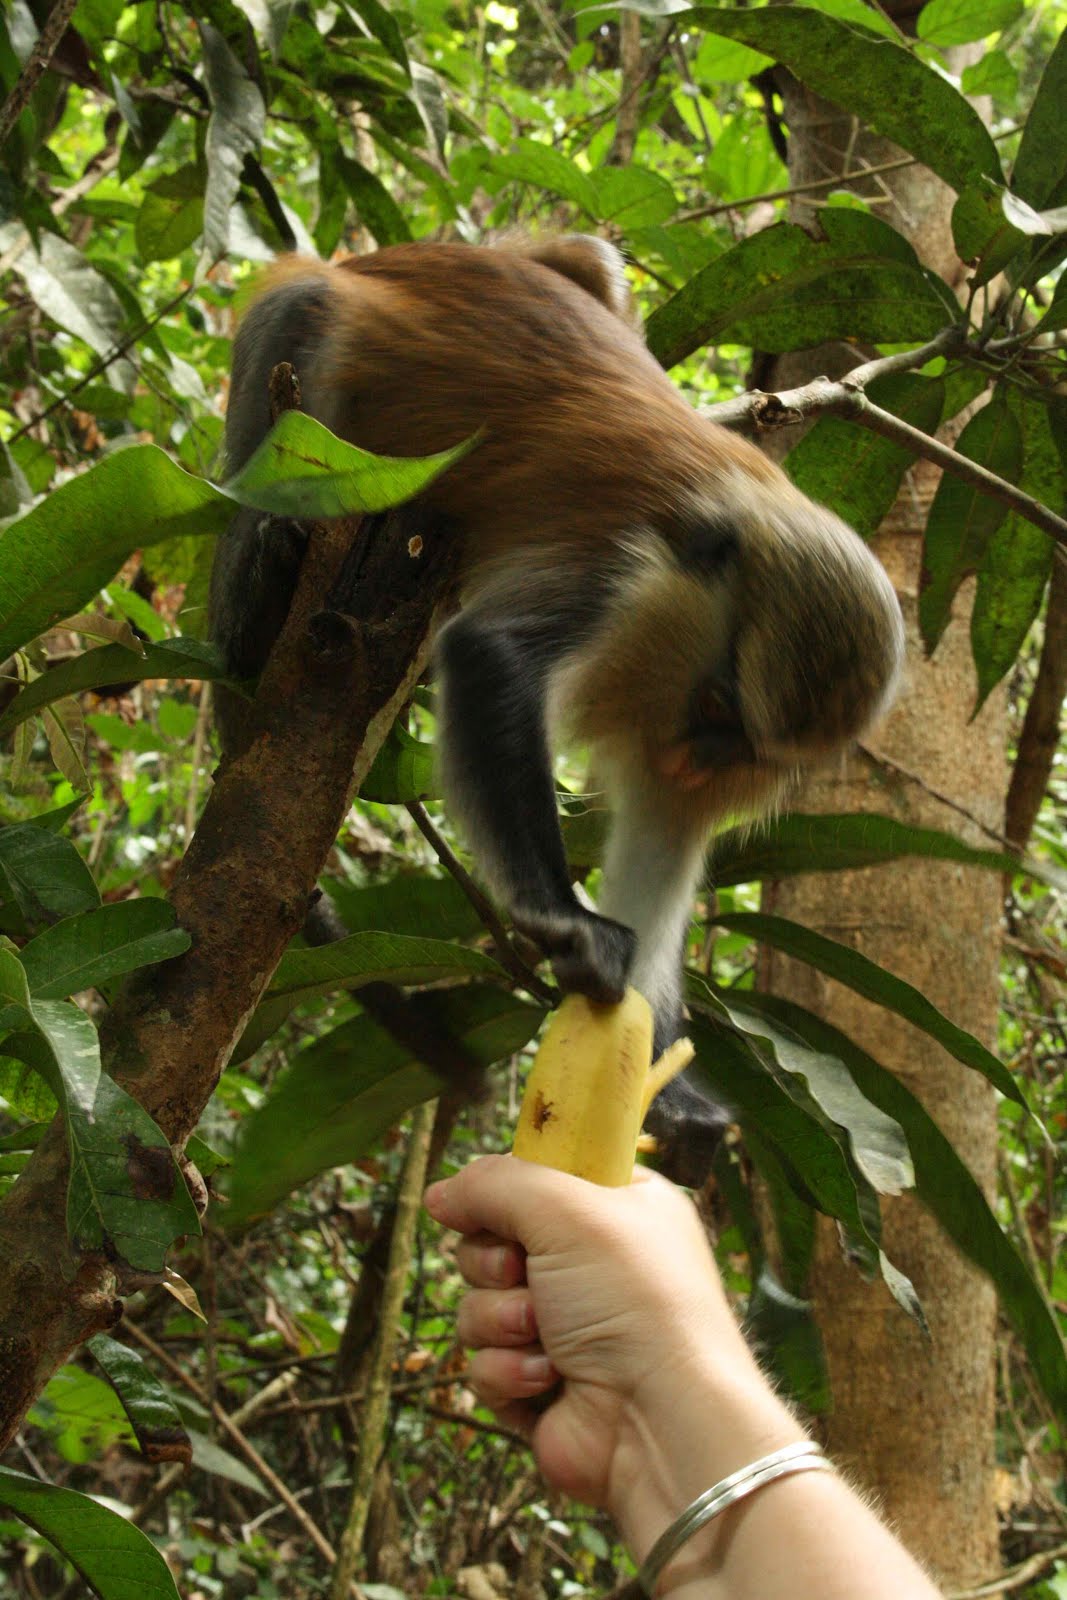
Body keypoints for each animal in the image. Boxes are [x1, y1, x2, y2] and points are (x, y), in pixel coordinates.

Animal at [209, 234, 905, 1177]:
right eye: (714, 703)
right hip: (295, 366)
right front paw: (565, 925)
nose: (694, 761)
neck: (738, 527)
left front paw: (674, 1096)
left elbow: (658, 851)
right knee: (299, 329)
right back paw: (254, 610)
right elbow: (490, 653)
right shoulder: (621, 575)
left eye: (743, 749)